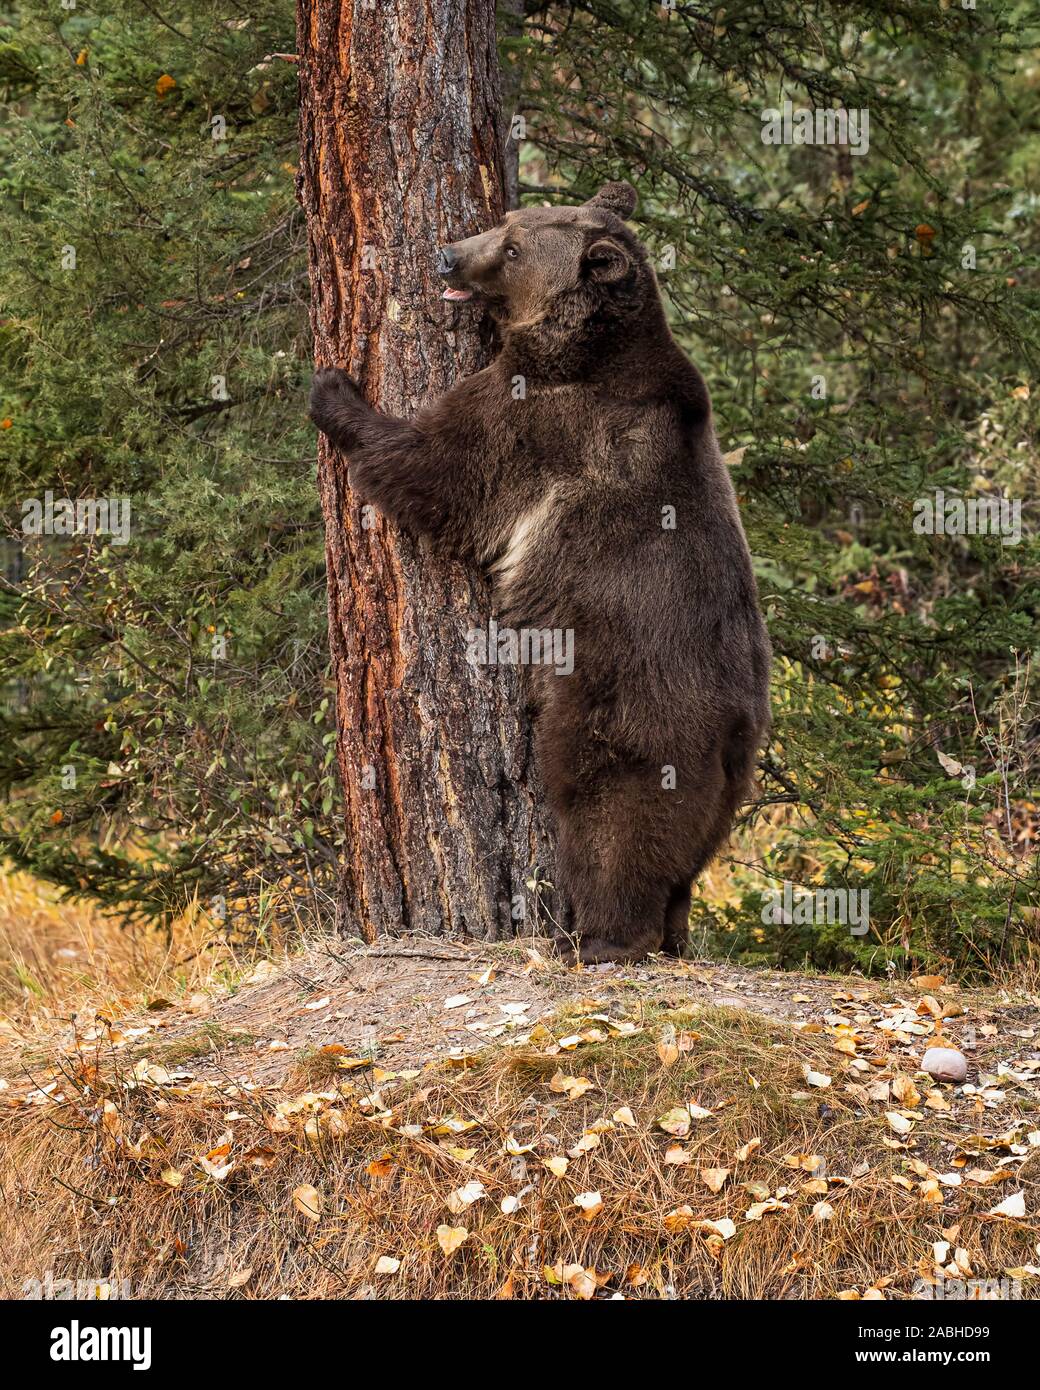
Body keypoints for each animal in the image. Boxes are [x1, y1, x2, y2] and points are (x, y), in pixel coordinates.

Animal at [308, 180, 771, 964]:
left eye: (516, 246)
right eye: (508, 219)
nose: (447, 252)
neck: (581, 349)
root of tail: (731, 729)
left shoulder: (540, 424)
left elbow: (441, 472)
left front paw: (332, 390)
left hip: (630, 714)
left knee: (616, 828)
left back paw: (603, 937)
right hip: (728, 776)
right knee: (689, 856)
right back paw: (673, 930)